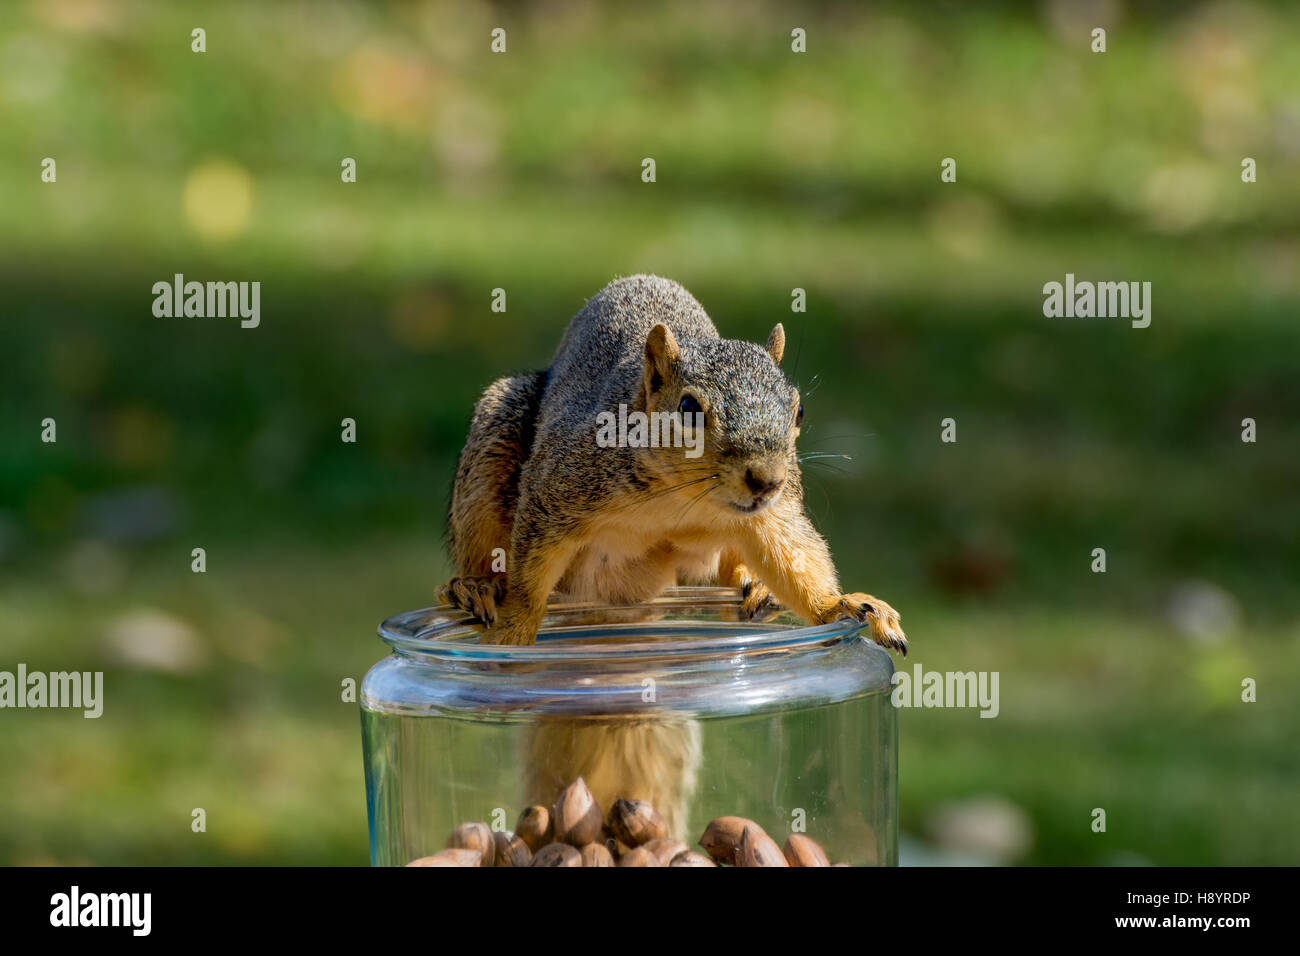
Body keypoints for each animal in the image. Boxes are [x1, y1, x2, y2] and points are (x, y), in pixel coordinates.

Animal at [437, 275, 906, 835]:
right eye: (688, 409)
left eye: (798, 410)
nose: (766, 480)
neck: (682, 499)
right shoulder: (558, 489)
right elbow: (531, 574)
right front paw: (510, 638)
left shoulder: (771, 516)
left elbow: (797, 560)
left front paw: (844, 605)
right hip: (494, 437)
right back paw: (475, 587)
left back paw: (753, 585)